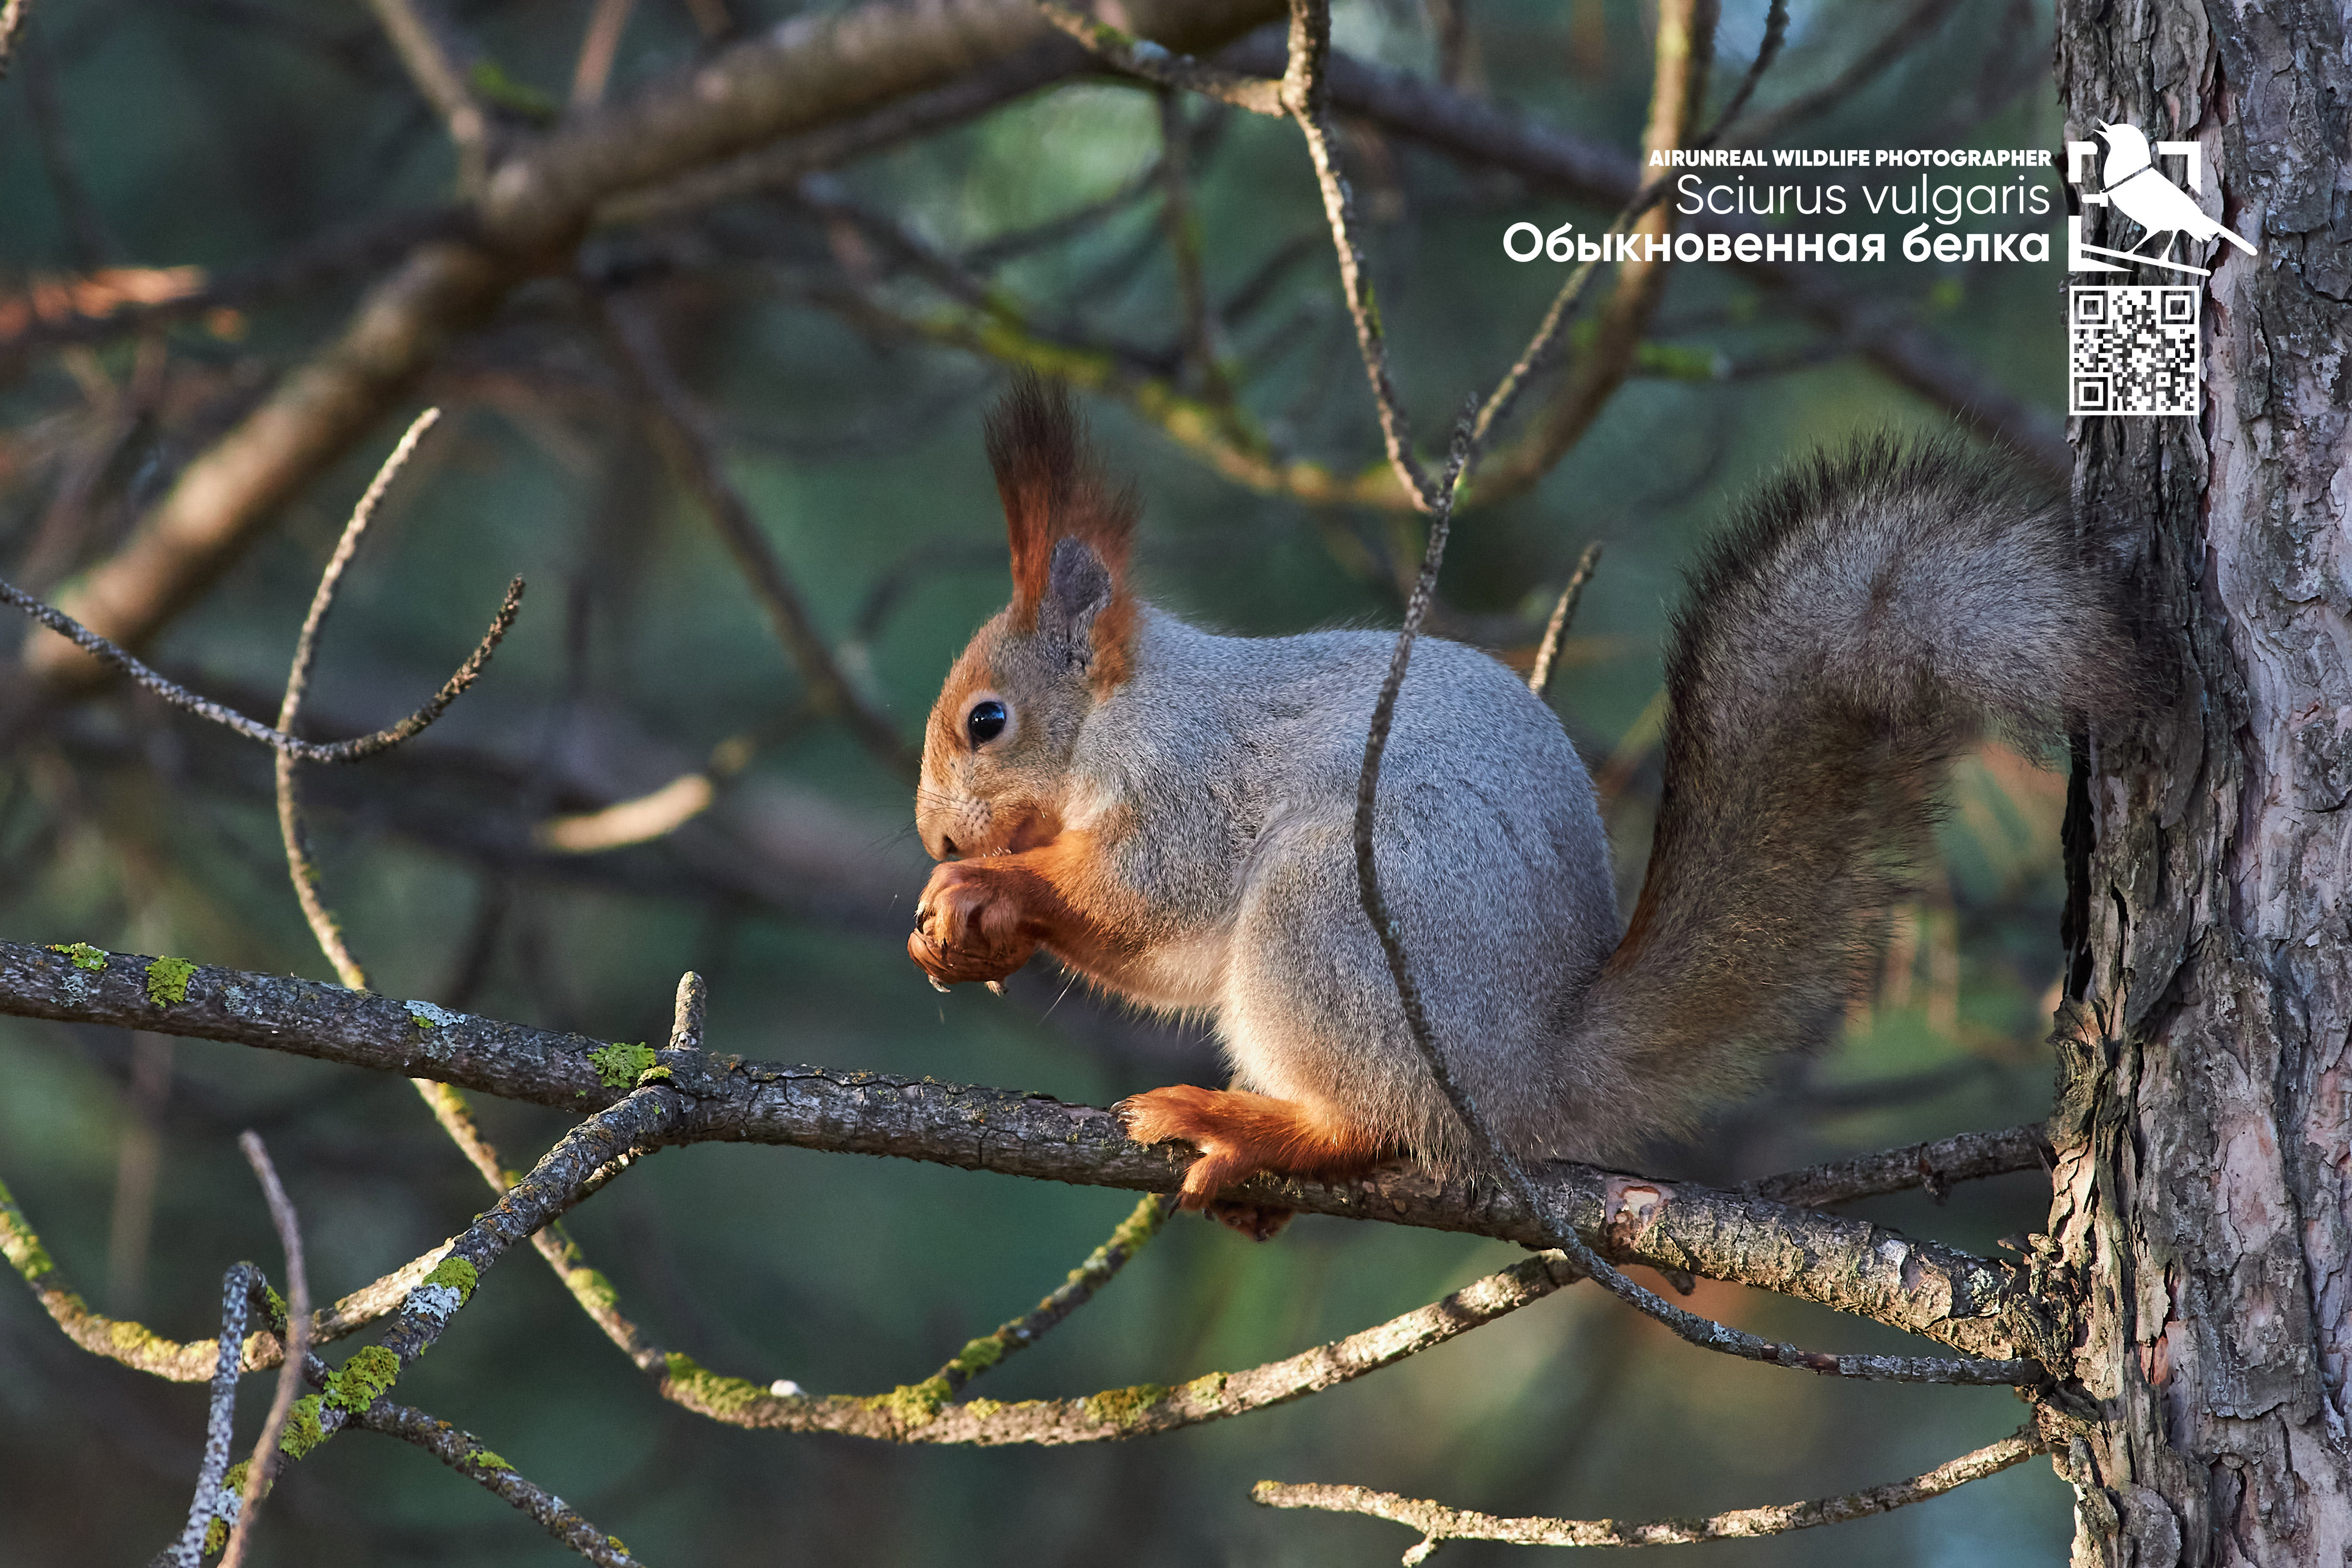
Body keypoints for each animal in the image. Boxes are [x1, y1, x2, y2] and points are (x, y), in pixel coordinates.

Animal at [908, 376, 2145, 1241]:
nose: (935, 834)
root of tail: (1533, 1071)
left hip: (1330, 915)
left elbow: (1147, 901)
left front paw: (986, 884)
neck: (1125, 710)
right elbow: (1154, 961)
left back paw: (1257, 1127)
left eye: (985, 721)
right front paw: (972, 926)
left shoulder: (1190, 784)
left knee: (1375, 1122)